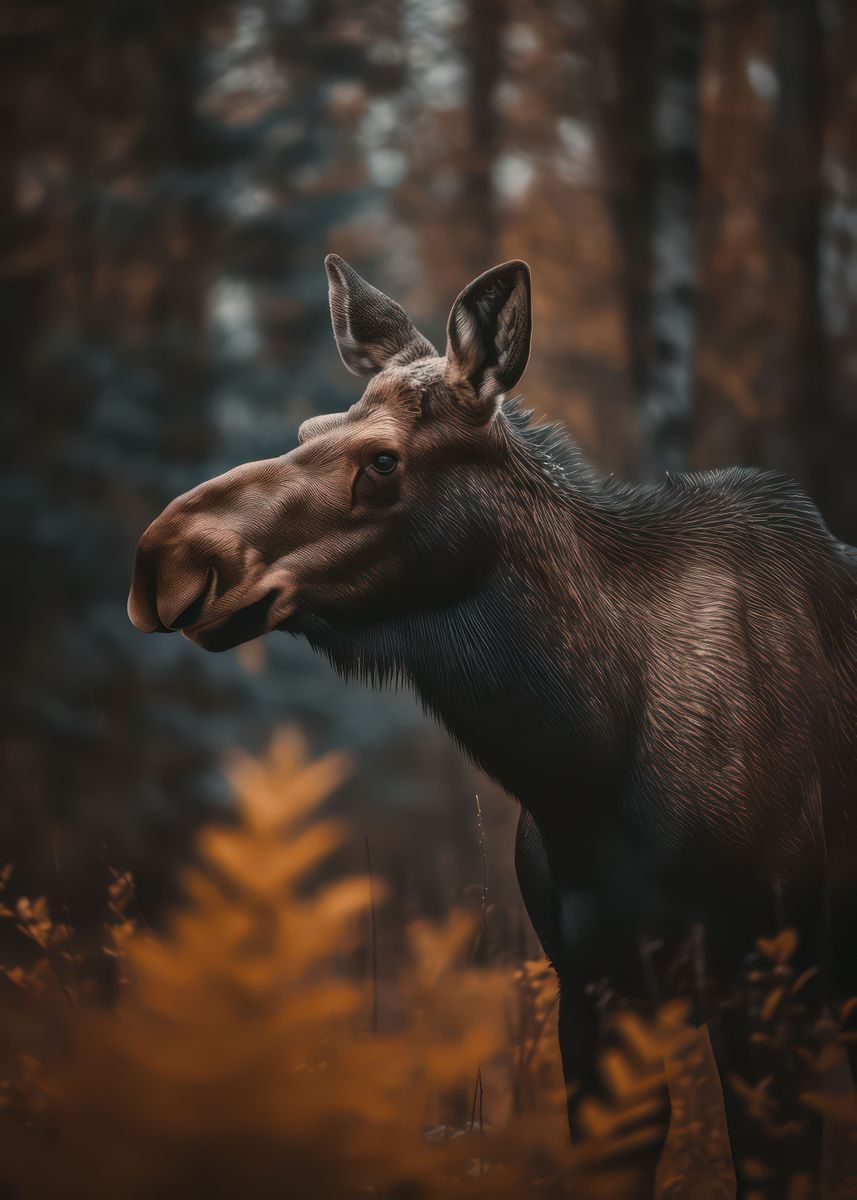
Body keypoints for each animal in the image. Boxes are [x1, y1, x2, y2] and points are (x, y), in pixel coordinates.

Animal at [128, 254, 857, 1184]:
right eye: (308, 424)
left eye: (382, 460)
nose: (167, 555)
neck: (588, 763)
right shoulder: (591, 987)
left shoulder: (770, 991)